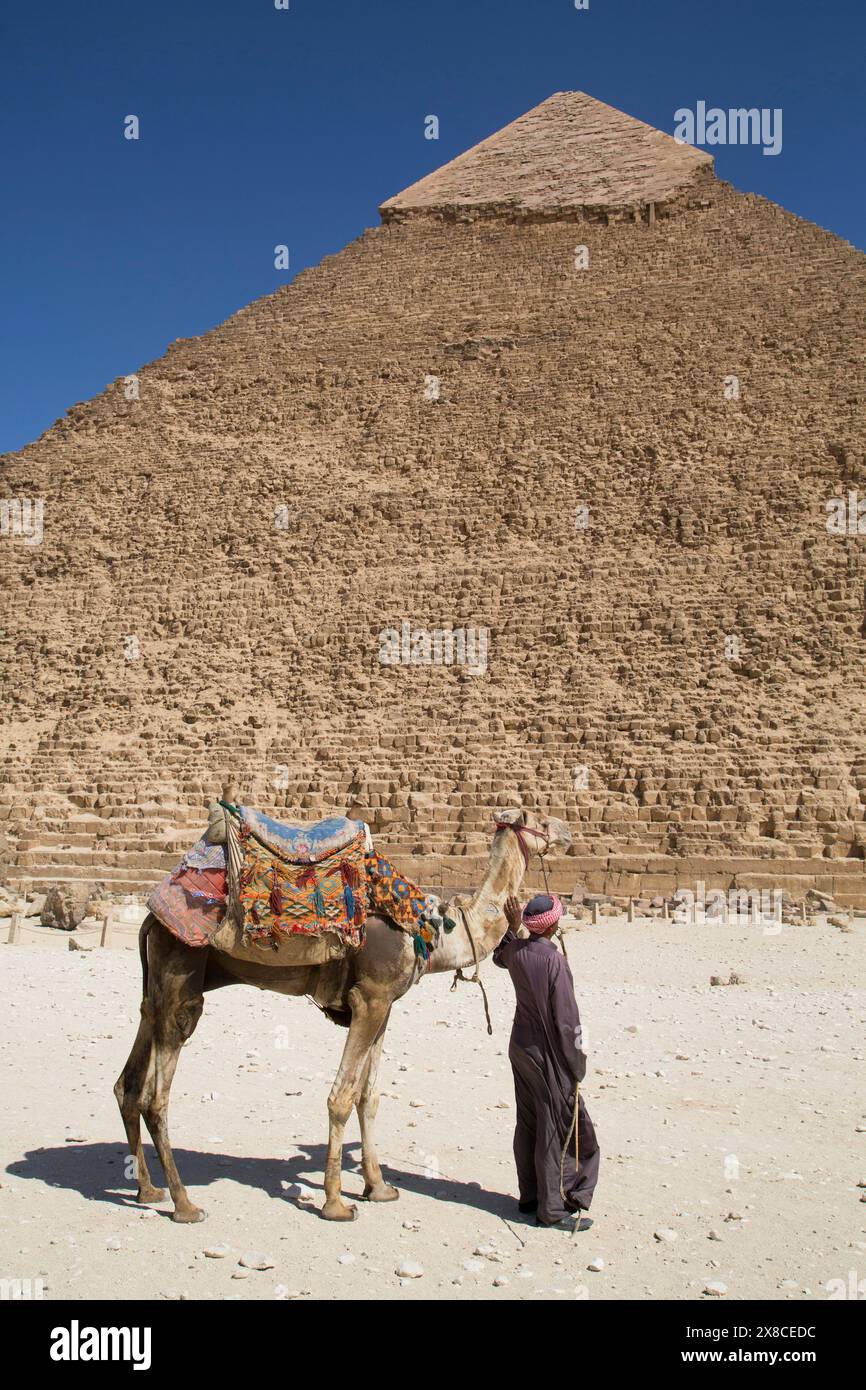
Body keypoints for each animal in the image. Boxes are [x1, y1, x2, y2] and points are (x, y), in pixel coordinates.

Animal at [113, 807, 572, 1222]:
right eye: (539, 819)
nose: (567, 832)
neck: (432, 932)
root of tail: (153, 912)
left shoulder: (384, 1006)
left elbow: (369, 1097)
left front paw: (379, 1187)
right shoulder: (369, 999)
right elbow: (341, 1097)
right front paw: (335, 1203)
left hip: (158, 988)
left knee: (128, 1083)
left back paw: (147, 1189)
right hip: (182, 975)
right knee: (157, 1095)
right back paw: (185, 1204)